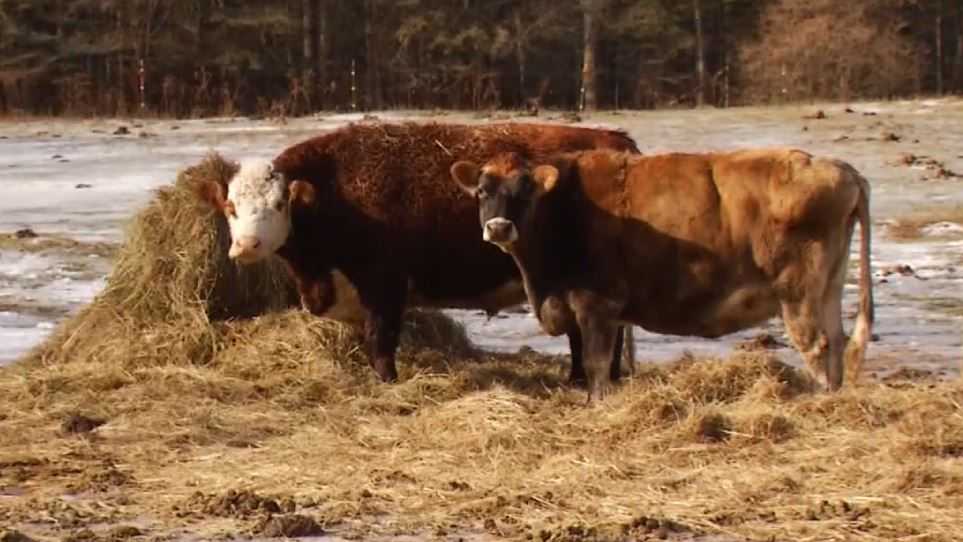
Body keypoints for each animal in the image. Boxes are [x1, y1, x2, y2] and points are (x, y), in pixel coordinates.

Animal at [196, 121, 641, 384]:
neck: (335, 188)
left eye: (278, 204)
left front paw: (387, 381)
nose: (247, 245)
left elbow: (381, 338)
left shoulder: (384, 286)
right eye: (231, 207)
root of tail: (617, 140)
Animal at [450, 148, 874, 401]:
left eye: (524, 190)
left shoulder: (597, 305)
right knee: (837, 342)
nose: (499, 227)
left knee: (817, 346)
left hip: (798, 294)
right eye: (483, 191)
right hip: (829, 287)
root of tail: (839, 168)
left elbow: (596, 365)